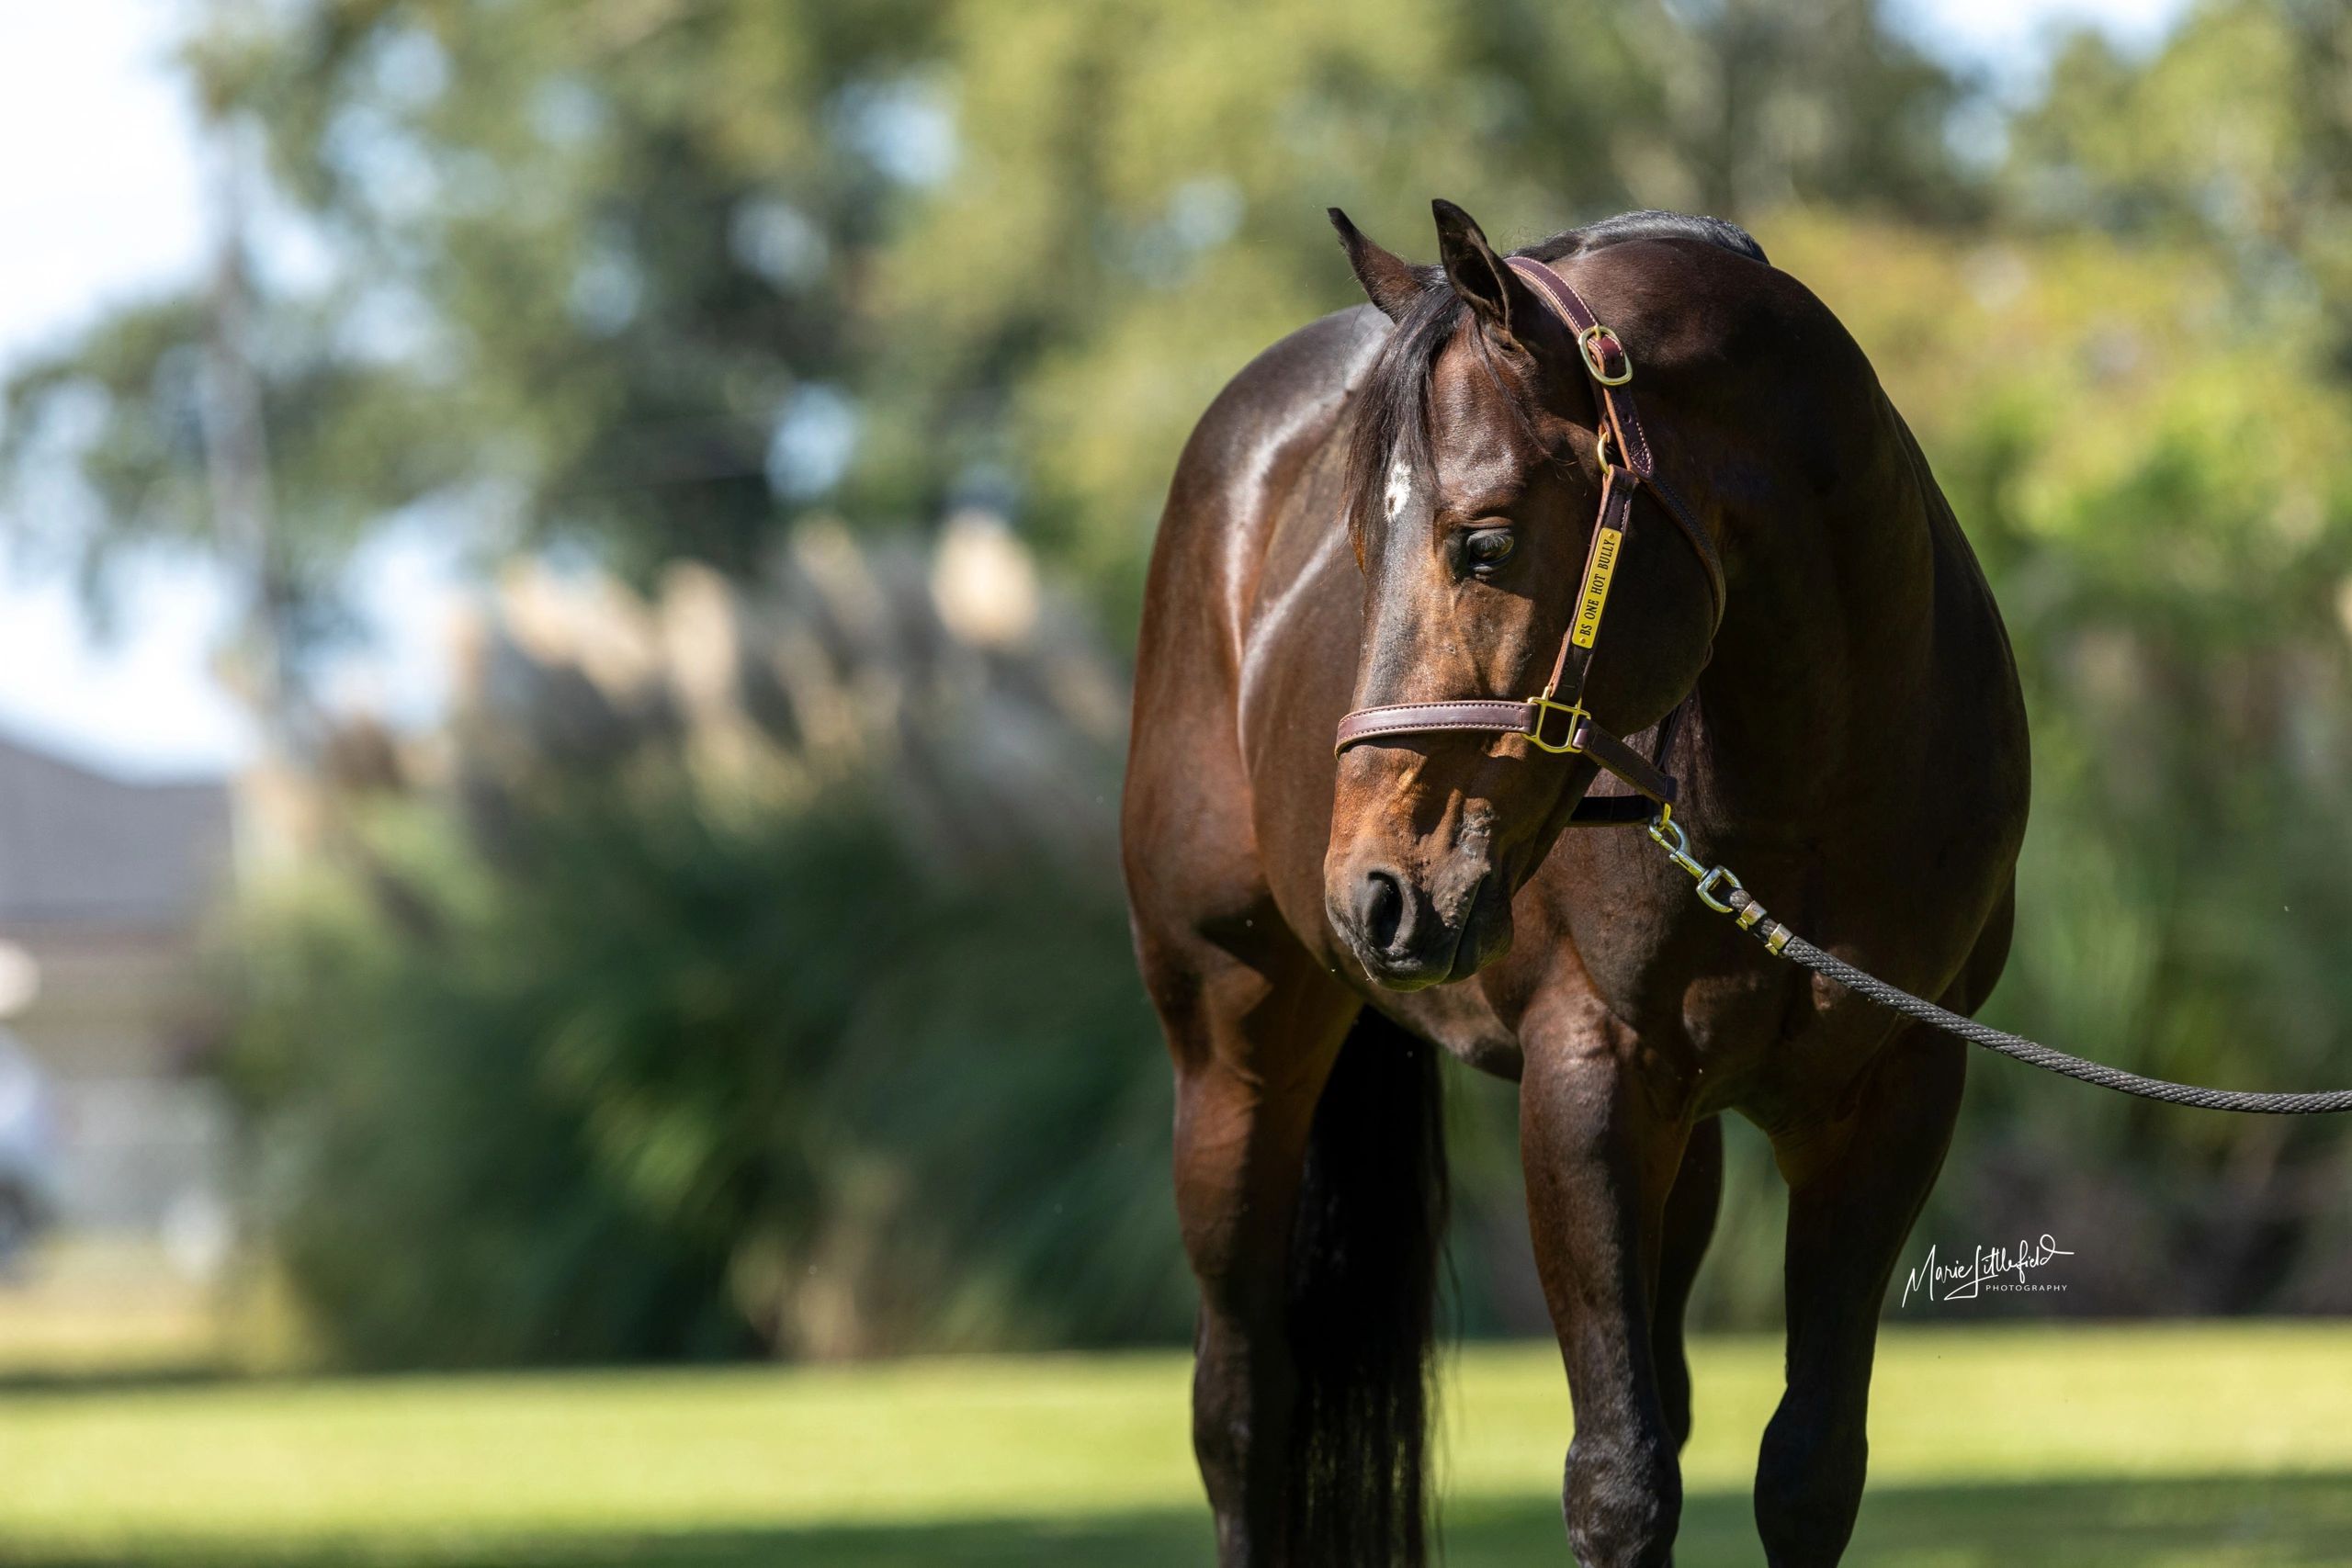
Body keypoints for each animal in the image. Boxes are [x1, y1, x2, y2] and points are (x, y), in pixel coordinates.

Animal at [1119, 200, 2030, 1566]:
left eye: (1485, 541)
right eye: (1355, 547)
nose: (1373, 893)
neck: (1813, 784)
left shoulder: (1891, 1096)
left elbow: (1807, 1469)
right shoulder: (1588, 1079)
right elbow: (1620, 1479)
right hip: (1233, 1058)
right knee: (1239, 1413)